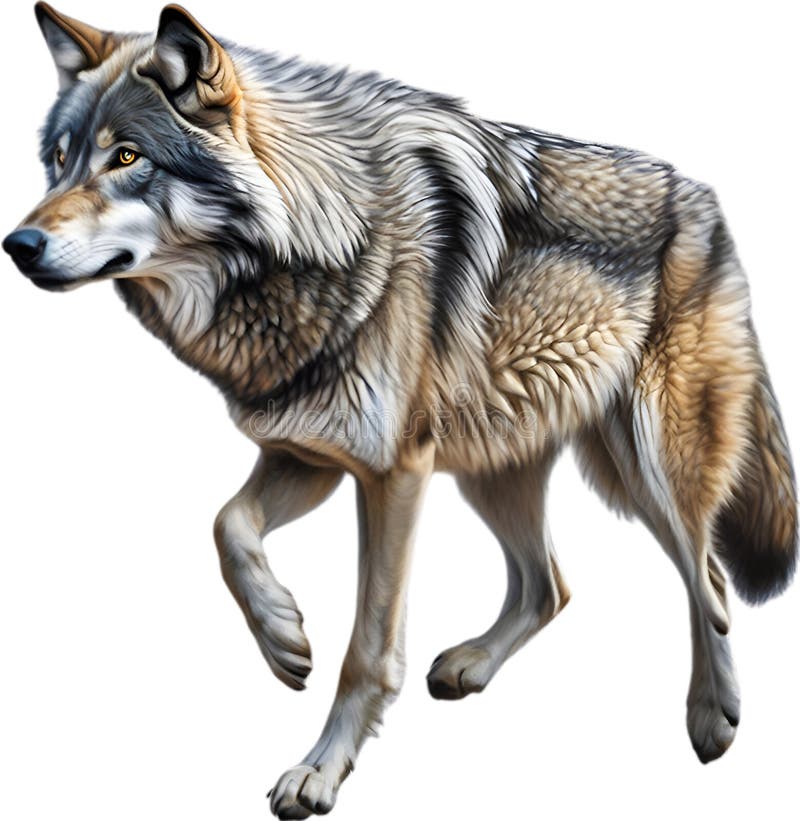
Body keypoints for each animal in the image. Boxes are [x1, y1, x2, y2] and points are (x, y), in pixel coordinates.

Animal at [4, 2, 797, 817]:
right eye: (59, 161)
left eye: (127, 157)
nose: (18, 243)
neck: (322, 238)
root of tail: (706, 200)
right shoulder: (309, 454)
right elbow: (227, 526)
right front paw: (284, 637)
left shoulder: (392, 474)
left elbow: (368, 649)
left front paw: (320, 770)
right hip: (493, 469)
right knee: (551, 584)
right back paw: (473, 664)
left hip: (650, 469)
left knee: (710, 580)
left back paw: (713, 716)